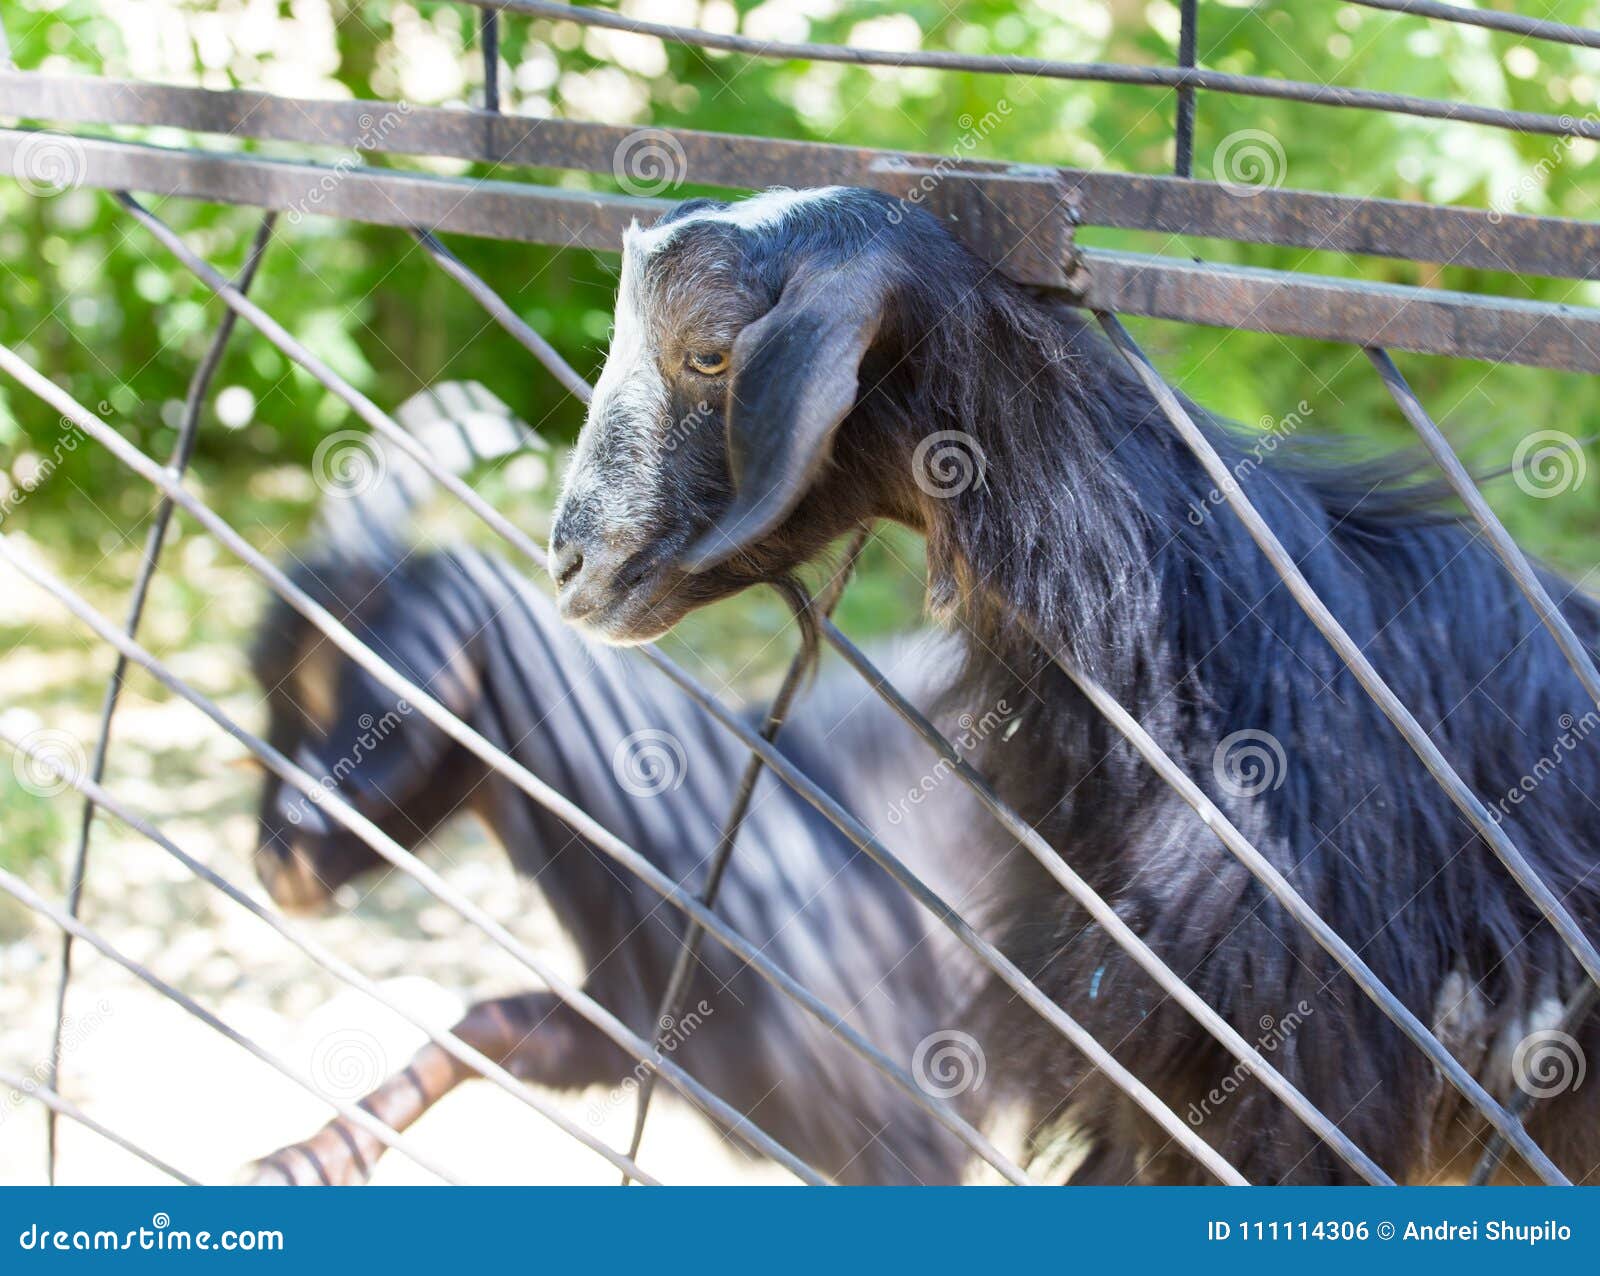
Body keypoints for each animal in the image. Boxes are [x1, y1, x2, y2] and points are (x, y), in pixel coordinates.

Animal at [243, 385, 985, 1185]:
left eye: (360, 688)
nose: (275, 863)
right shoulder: (639, 1034)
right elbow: (484, 1025)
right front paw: (308, 1156)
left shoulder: (909, 1128)